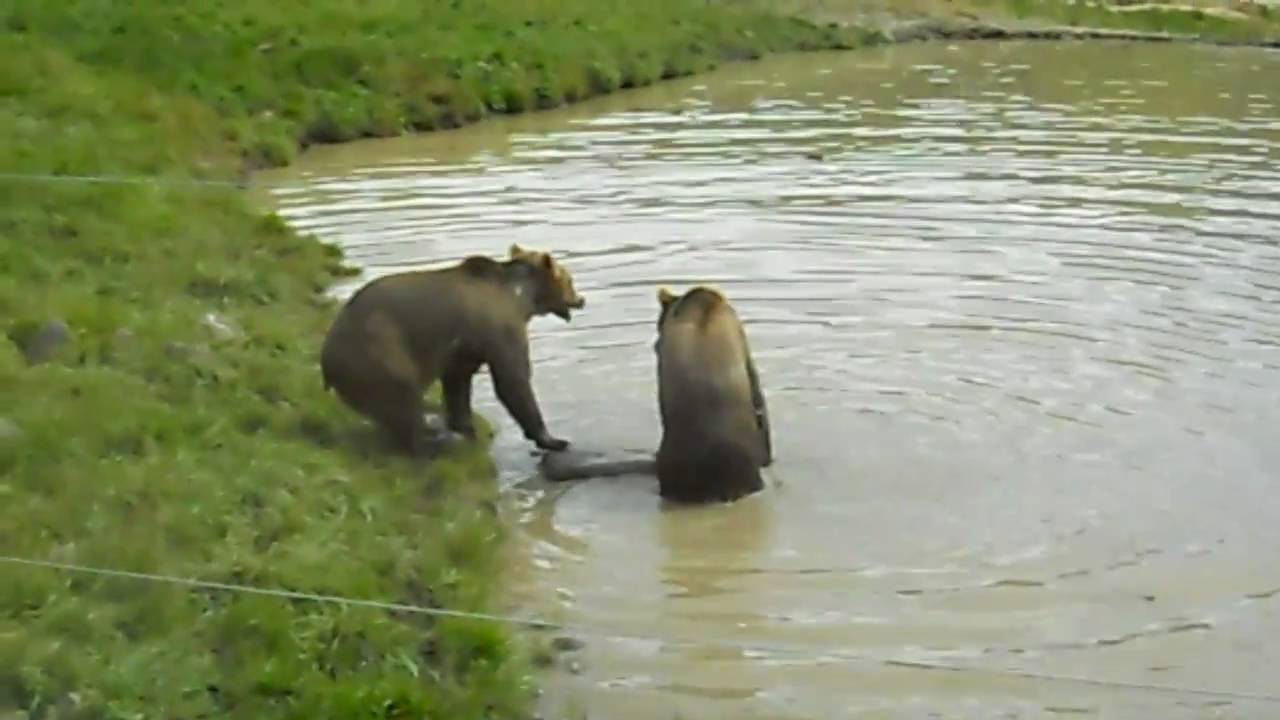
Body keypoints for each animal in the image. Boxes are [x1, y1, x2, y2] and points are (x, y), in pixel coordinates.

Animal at [320, 243, 585, 457]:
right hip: (379, 350)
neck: (520, 298)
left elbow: (458, 384)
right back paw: (427, 446)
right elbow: (513, 380)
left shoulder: (463, 348)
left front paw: (466, 428)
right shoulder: (500, 329)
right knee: (403, 396)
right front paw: (553, 439)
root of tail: (326, 359)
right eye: (570, 280)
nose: (581, 299)